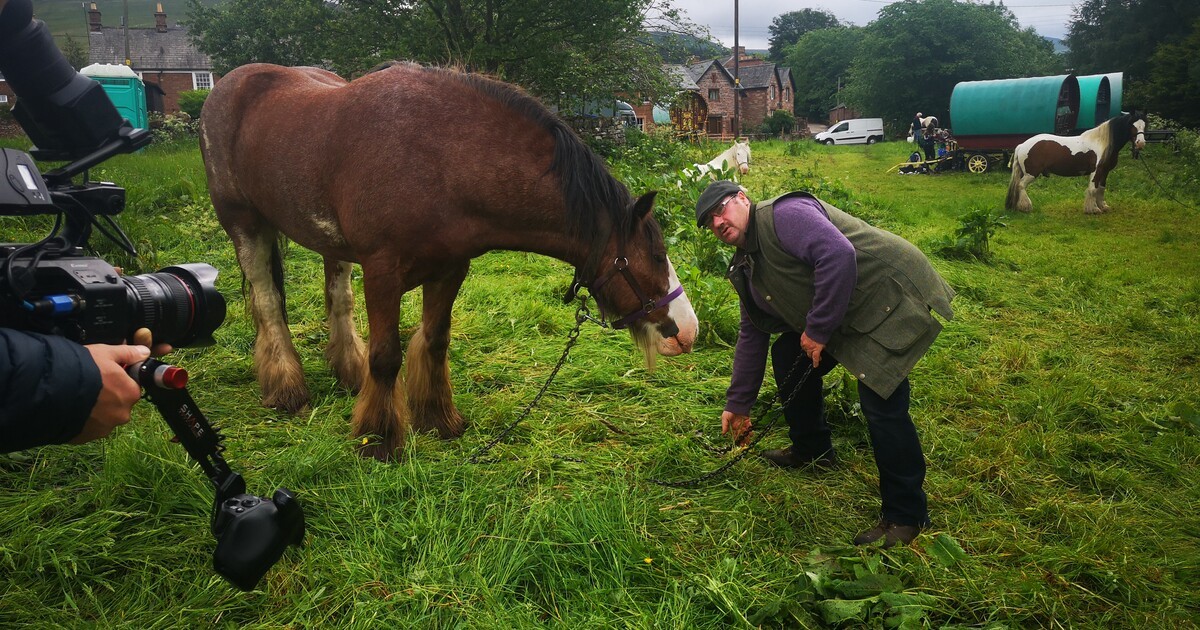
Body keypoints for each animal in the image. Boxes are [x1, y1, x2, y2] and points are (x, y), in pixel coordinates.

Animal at [199, 62, 700, 461]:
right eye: (657, 255)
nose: (688, 331)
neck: (441, 157)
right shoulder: (382, 273)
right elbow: (387, 356)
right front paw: (378, 438)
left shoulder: (450, 269)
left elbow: (435, 342)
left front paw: (438, 419)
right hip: (244, 224)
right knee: (267, 303)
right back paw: (286, 387)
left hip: (330, 245)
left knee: (337, 299)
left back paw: (349, 373)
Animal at [1006, 110, 1147, 215]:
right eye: (1132, 125)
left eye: (1145, 125)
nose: (1140, 143)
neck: (1102, 142)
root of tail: (1022, 145)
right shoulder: (1096, 171)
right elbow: (1093, 189)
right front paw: (1093, 209)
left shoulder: (1105, 171)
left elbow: (1101, 189)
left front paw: (1103, 206)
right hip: (1031, 173)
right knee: (1021, 185)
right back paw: (1026, 207)